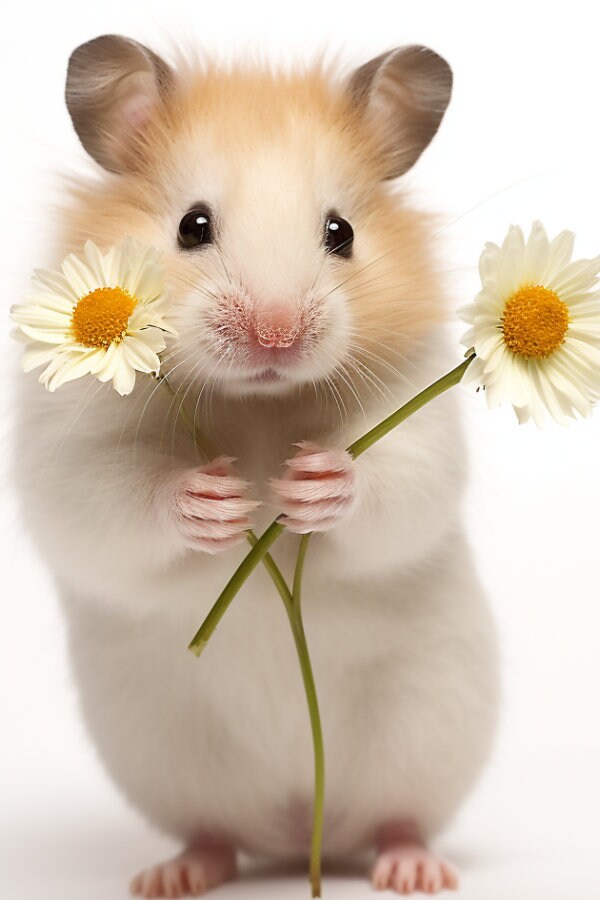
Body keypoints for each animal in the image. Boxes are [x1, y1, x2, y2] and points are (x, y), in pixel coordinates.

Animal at [13, 36, 500, 897]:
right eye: (192, 226)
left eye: (341, 231)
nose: (275, 334)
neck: (259, 403)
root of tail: (299, 830)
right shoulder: (64, 446)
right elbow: (109, 500)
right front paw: (221, 498)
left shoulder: (418, 416)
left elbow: (398, 484)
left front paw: (308, 483)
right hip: (168, 757)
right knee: (217, 834)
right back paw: (173, 874)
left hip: (428, 729)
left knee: (396, 819)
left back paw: (412, 869)